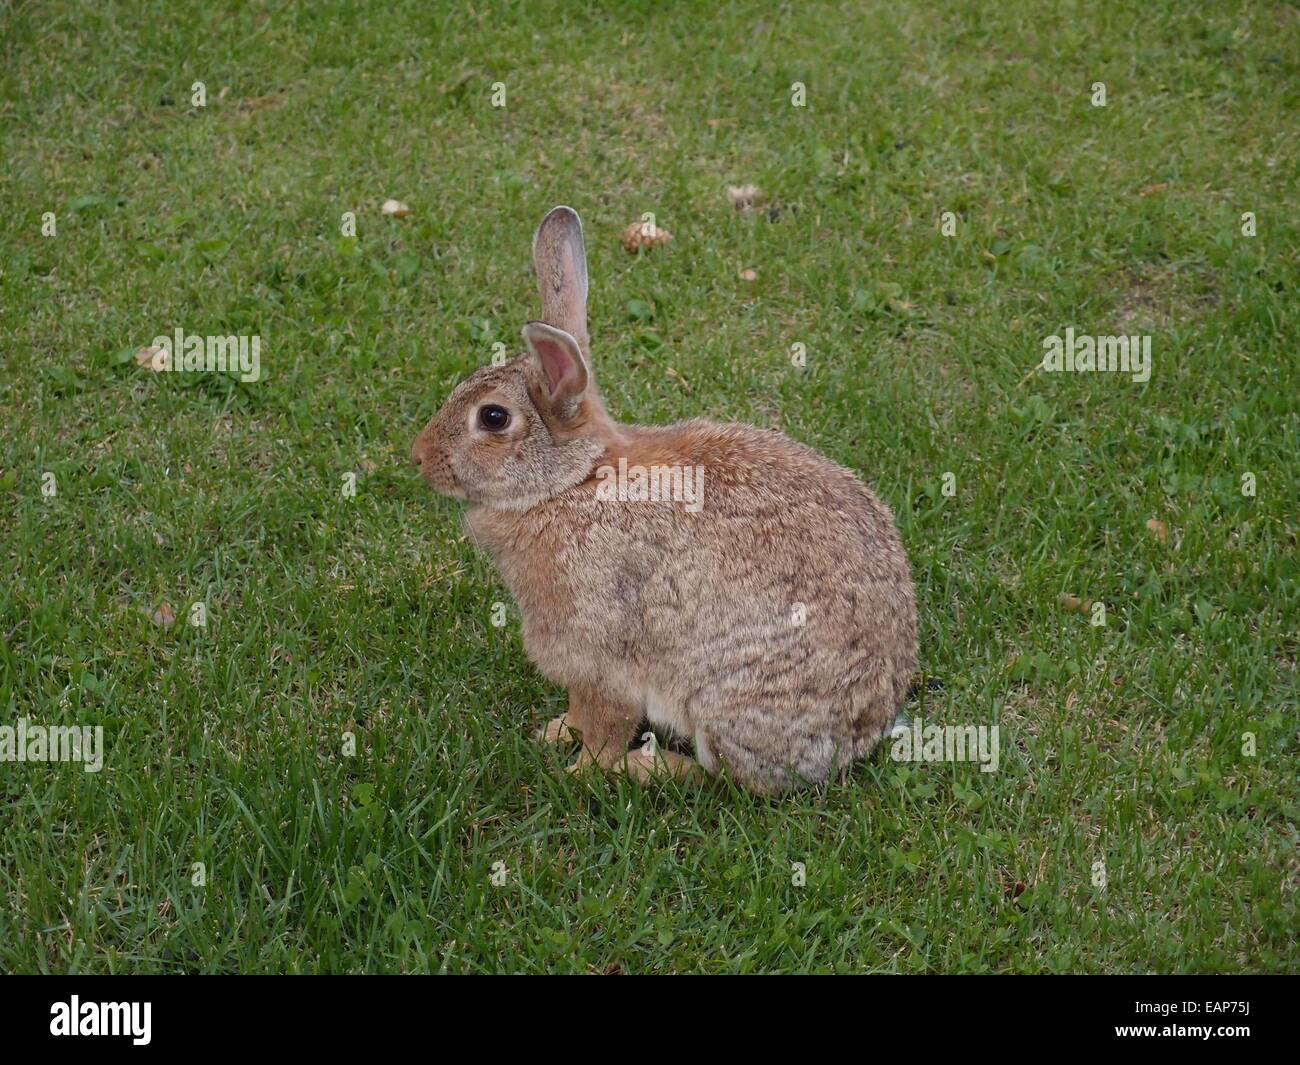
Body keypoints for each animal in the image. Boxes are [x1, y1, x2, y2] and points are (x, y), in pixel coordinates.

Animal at [410, 205, 917, 795]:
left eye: (492, 417)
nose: (419, 457)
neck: (572, 481)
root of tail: (862, 731)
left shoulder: (600, 655)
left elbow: (605, 726)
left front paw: (582, 771)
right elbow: (579, 711)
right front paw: (556, 731)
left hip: (724, 697)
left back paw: (650, 767)